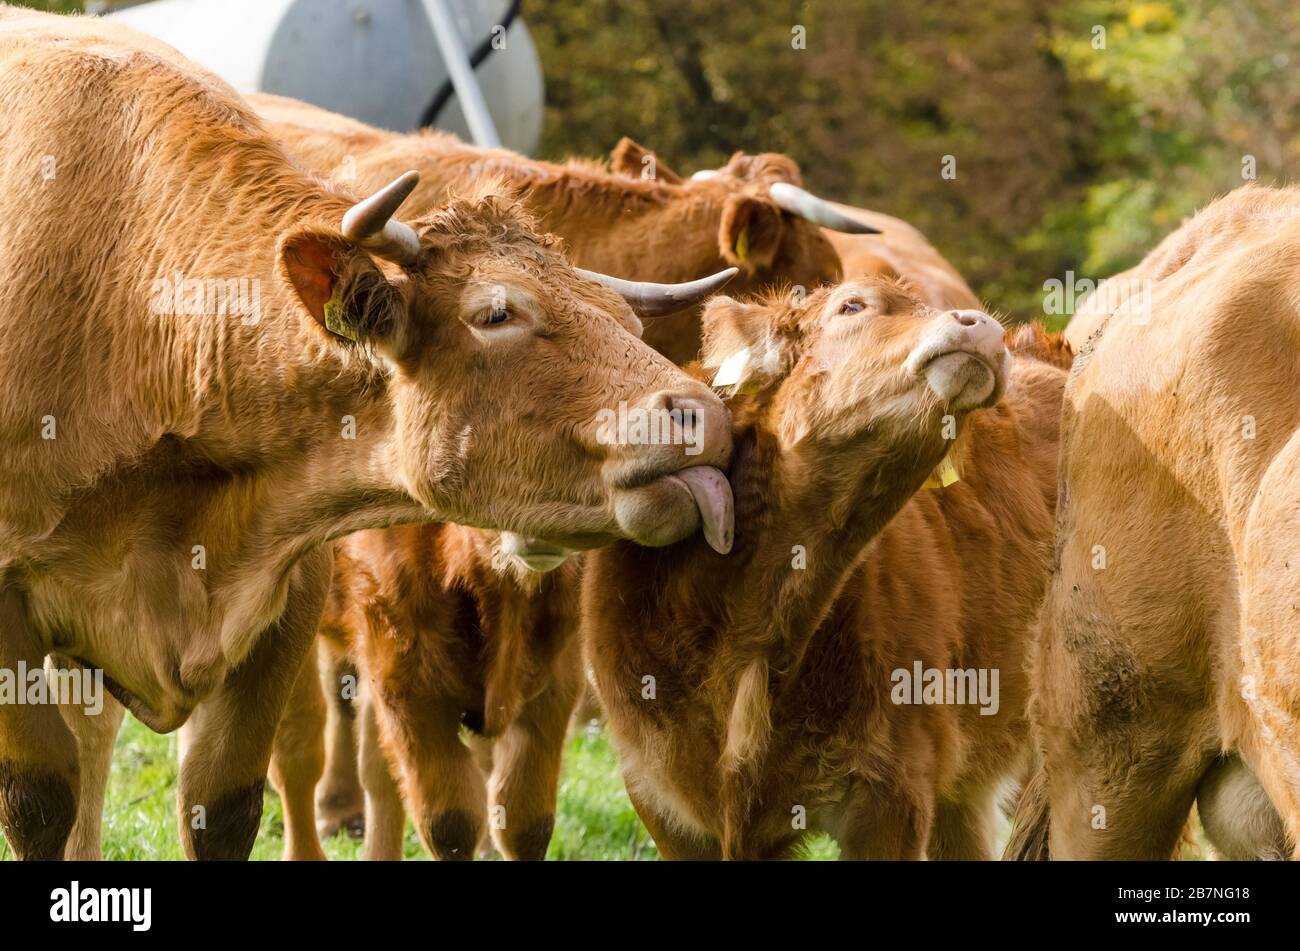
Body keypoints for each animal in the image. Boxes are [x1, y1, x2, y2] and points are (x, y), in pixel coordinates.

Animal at [0, 9, 735, 860]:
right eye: (496, 312)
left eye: (626, 321)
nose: (704, 413)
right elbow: (40, 801)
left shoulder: (287, 592)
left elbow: (222, 803)